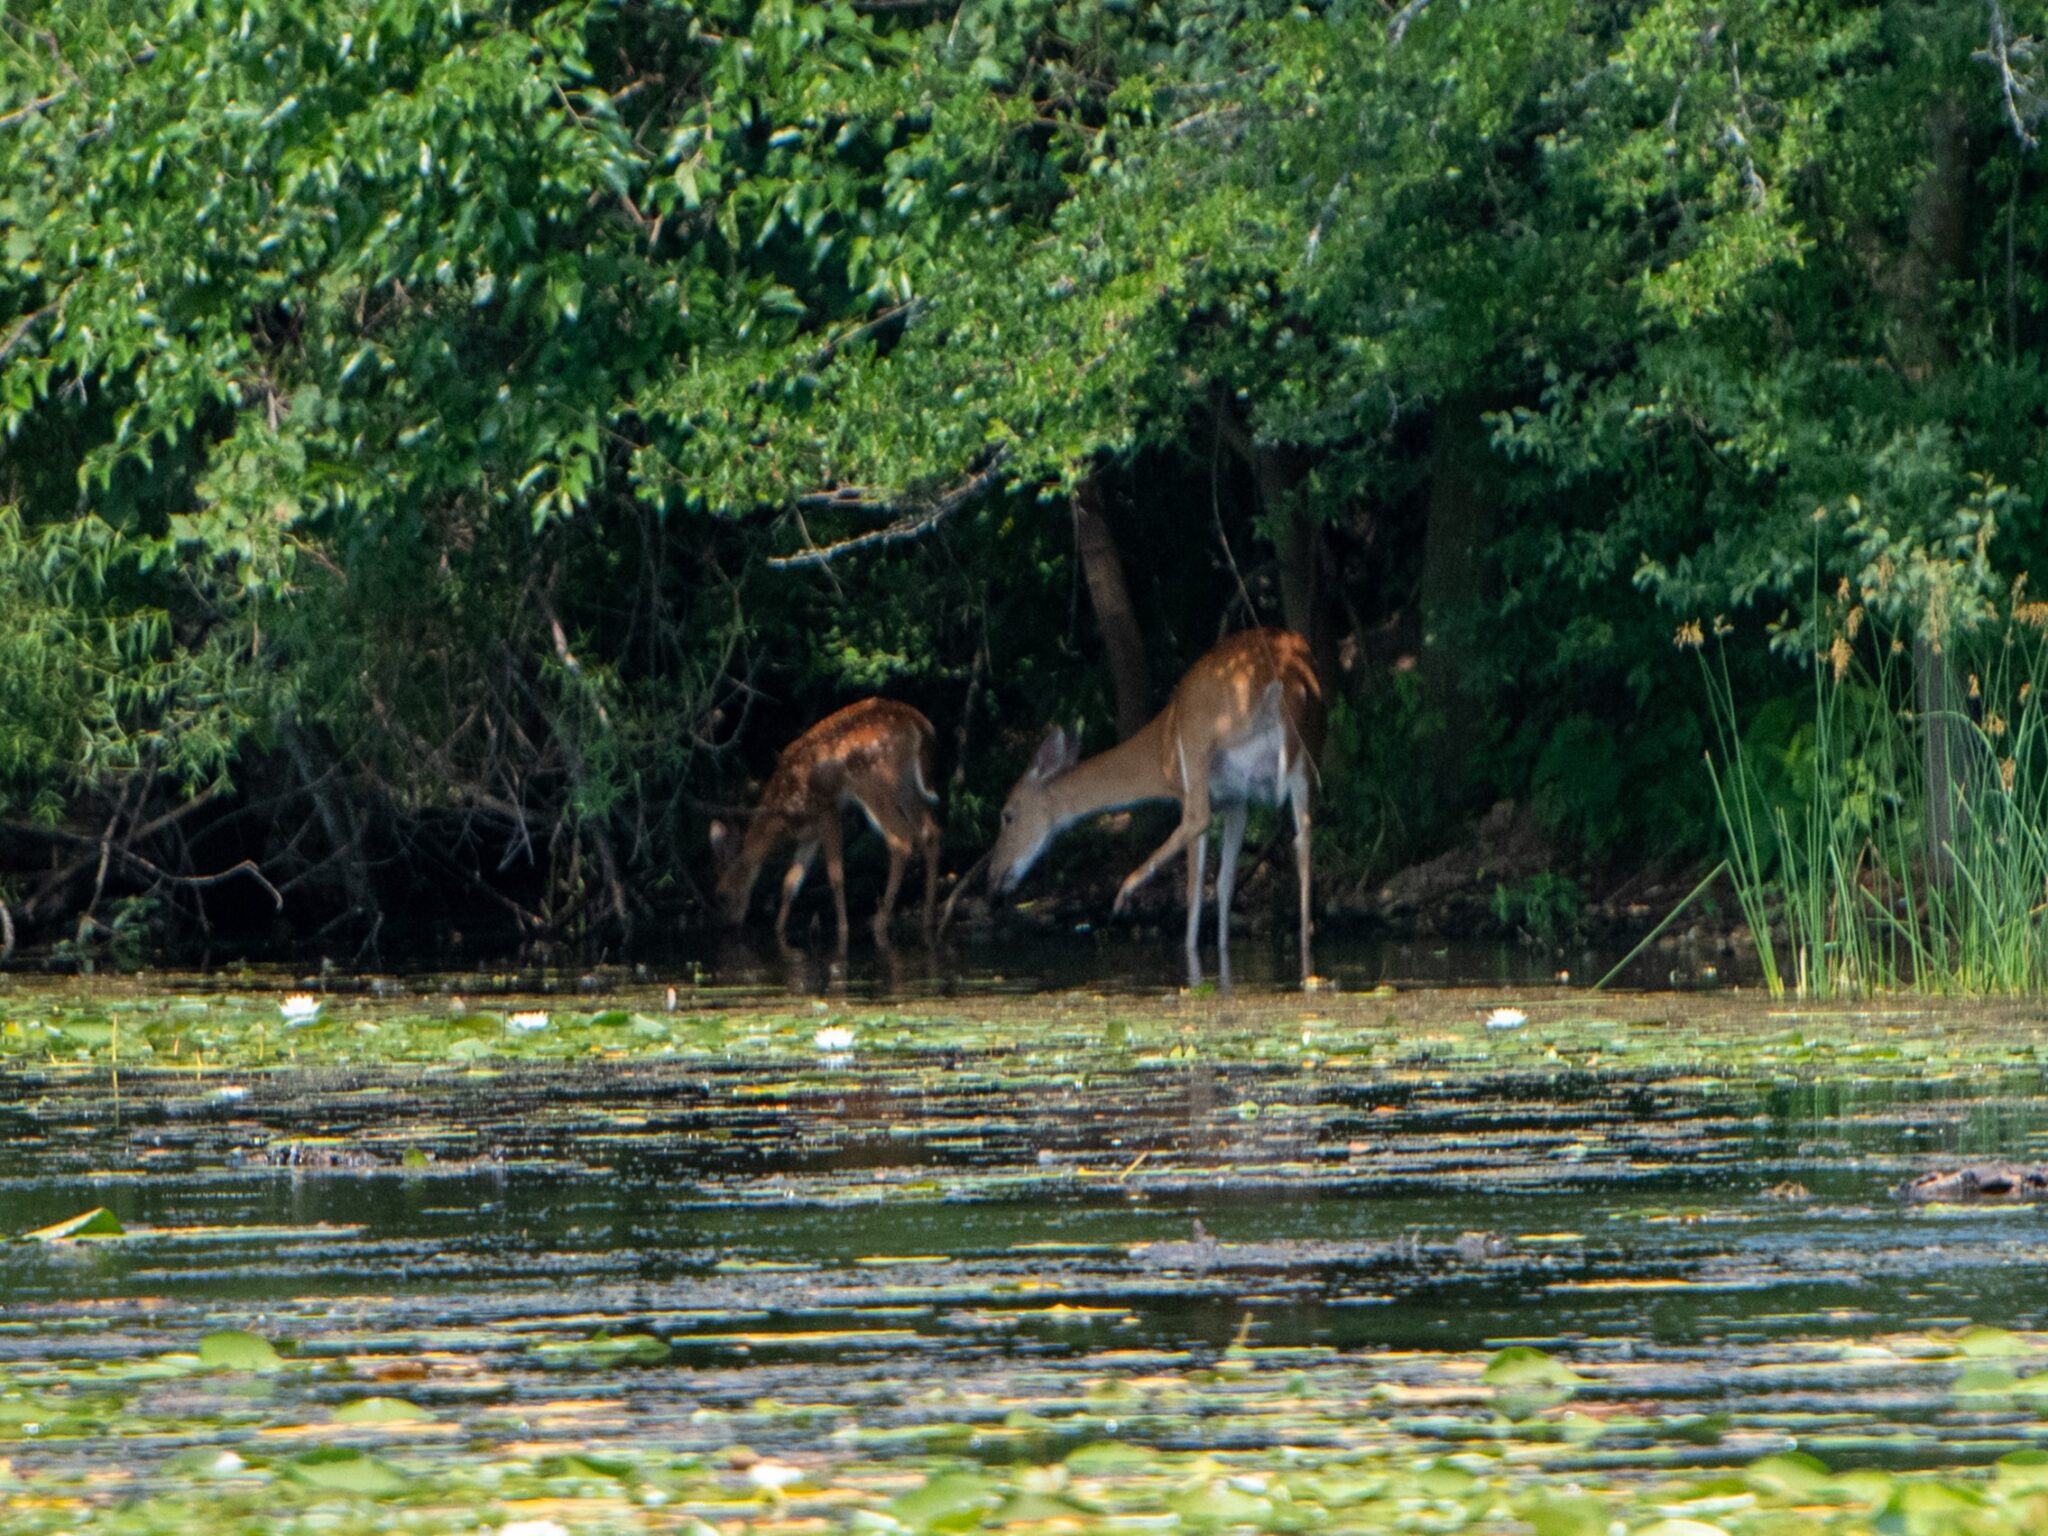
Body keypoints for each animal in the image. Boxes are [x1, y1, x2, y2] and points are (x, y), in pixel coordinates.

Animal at [710, 699, 942, 949]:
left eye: (721, 895)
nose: (728, 926)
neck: (784, 812)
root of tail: (919, 722)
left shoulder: (827, 810)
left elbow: (835, 875)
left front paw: (842, 930)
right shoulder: (809, 833)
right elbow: (790, 883)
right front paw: (778, 931)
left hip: (875, 782)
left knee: (900, 839)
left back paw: (880, 923)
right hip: (907, 786)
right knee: (930, 832)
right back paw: (928, 918)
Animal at [987, 627, 1325, 980]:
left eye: (1008, 815)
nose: (993, 881)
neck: (1157, 751)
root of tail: (1287, 681)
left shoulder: (1204, 786)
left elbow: (1199, 883)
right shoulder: (1237, 799)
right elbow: (1225, 881)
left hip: (1199, 743)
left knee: (1198, 824)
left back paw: (1125, 894)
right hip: (1307, 757)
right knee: (1304, 841)